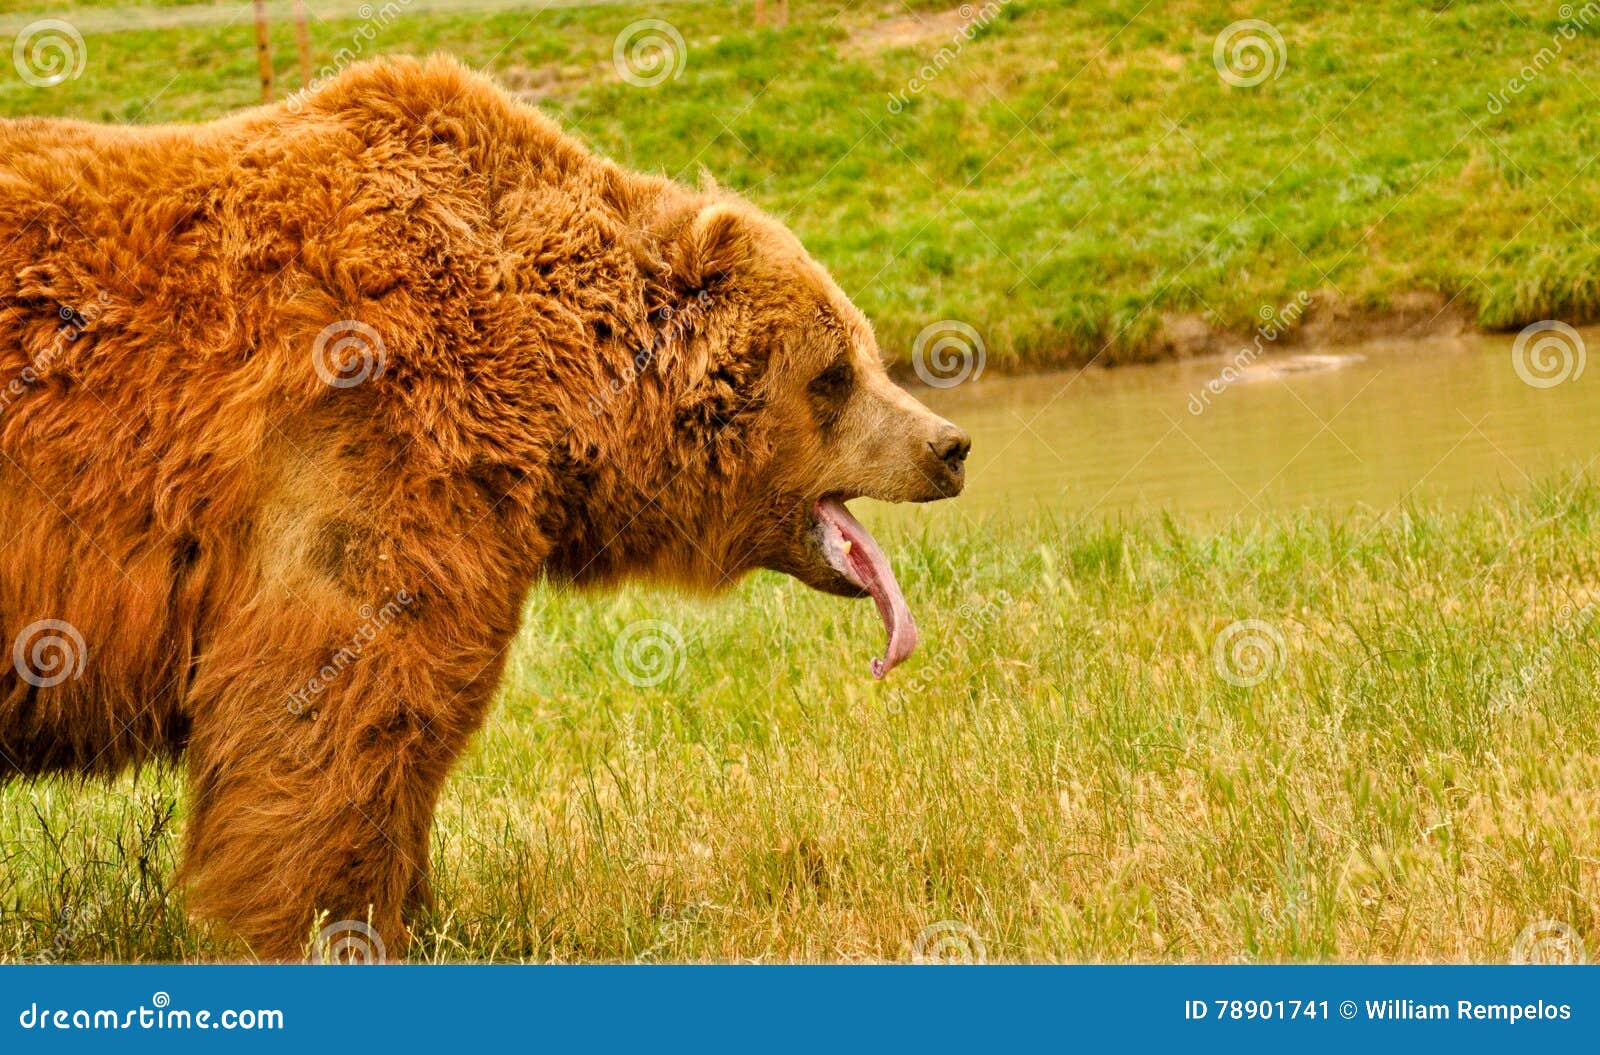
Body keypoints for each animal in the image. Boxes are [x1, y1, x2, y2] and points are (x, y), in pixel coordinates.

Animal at [0, 56, 968, 960]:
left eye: (865, 348)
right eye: (835, 374)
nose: (948, 445)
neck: (555, 381)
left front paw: (421, 912)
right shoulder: (364, 443)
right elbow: (334, 714)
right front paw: (332, 927)